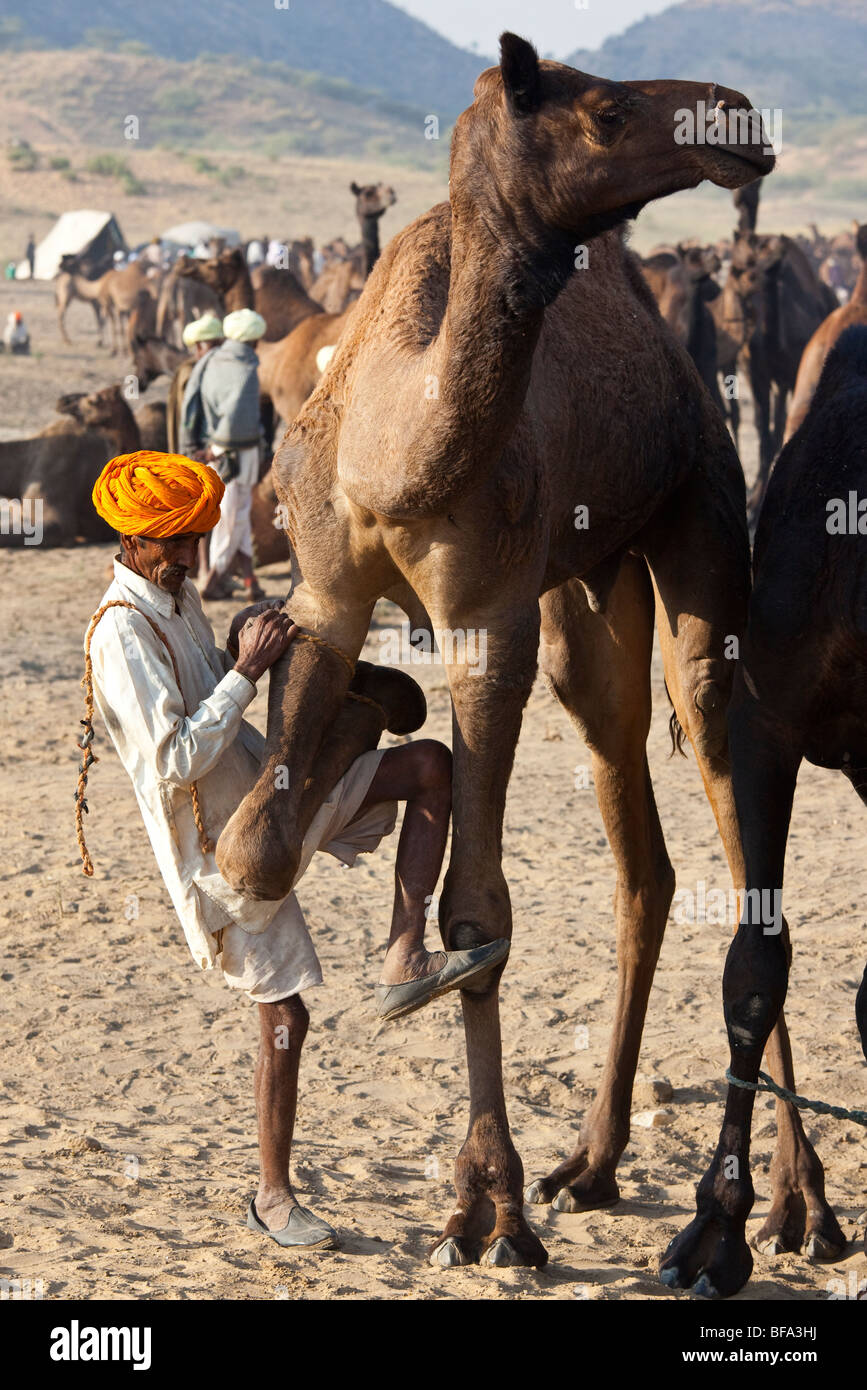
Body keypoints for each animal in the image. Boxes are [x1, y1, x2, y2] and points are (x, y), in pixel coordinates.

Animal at [208, 38, 843, 1280]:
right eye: (604, 110)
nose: (739, 118)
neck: (392, 442)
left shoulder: (485, 618)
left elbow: (479, 918)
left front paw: (487, 1213)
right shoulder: (330, 587)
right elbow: (256, 843)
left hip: (700, 516)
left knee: (728, 795)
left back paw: (797, 1207)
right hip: (584, 600)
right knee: (641, 845)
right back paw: (592, 1163)